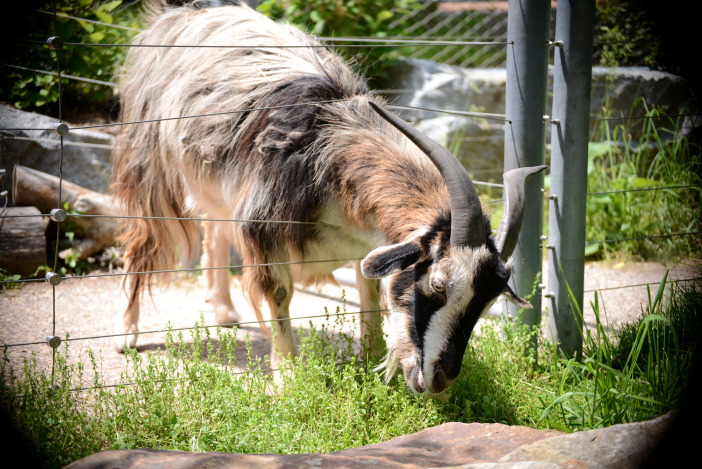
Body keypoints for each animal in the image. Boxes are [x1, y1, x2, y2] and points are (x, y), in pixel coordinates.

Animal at [111, 1, 545, 395]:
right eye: (438, 284)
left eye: (487, 303)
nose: (439, 379)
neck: (327, 147)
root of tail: (181, 14)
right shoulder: (264, 228)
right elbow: (280, 292)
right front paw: (288, 380)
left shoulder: (367, 242)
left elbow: (369, 290)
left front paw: (370, 358)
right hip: (150, 166)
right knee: (143, 239)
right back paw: (127, 334)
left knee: (215, 230)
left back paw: (223, 311)